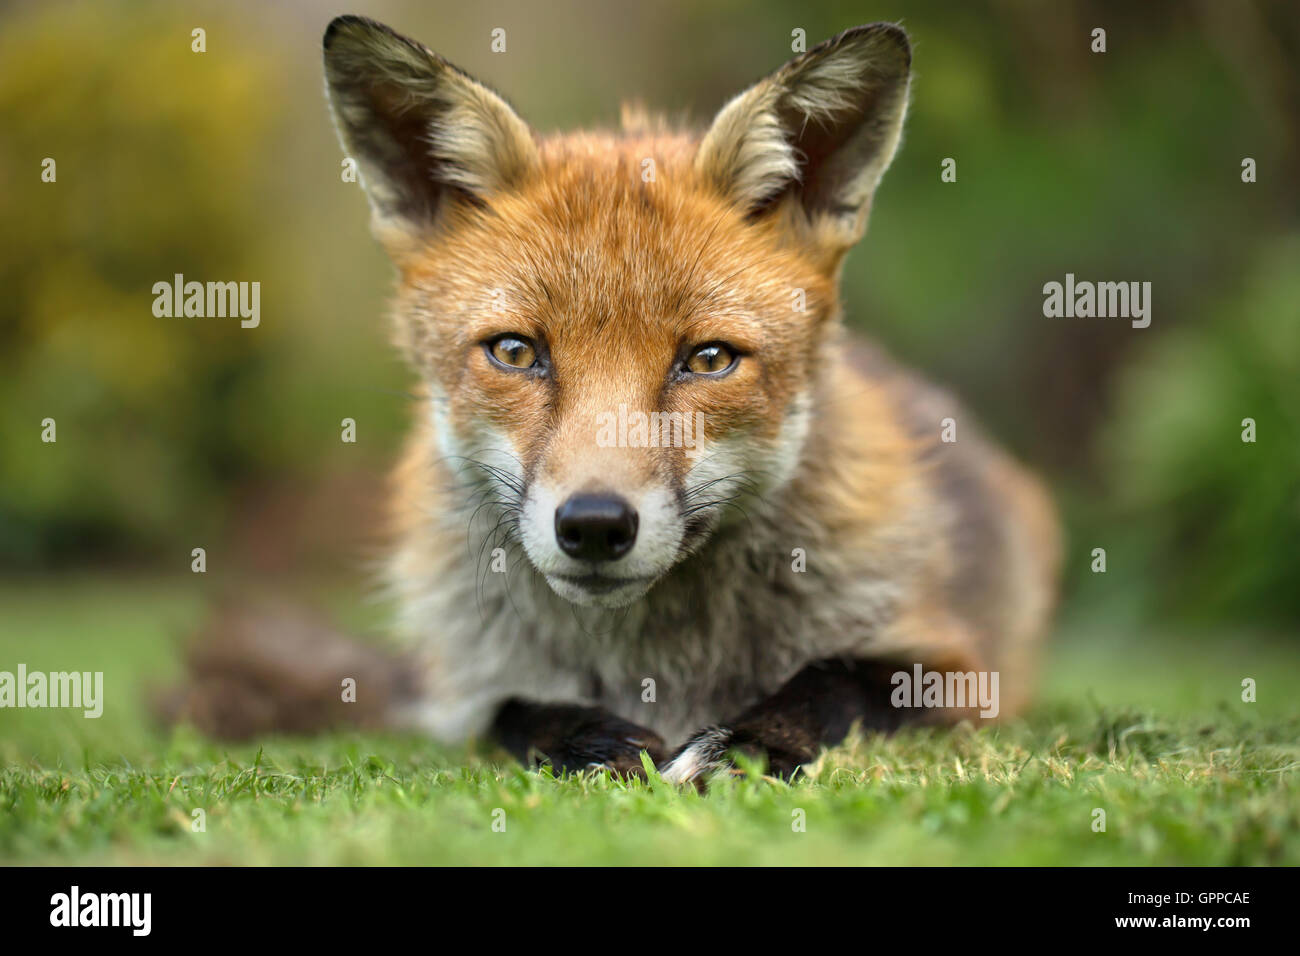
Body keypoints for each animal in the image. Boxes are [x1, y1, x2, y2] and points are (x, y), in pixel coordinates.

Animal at [165, 15, 1061, 785]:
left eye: (707, 359)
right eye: (517, 353)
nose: (594, 524)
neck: (653, 666)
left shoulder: (957, 668)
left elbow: (832, 682)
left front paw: (747, 746)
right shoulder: (464, 691)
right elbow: (512, 713)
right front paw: (588, 741)